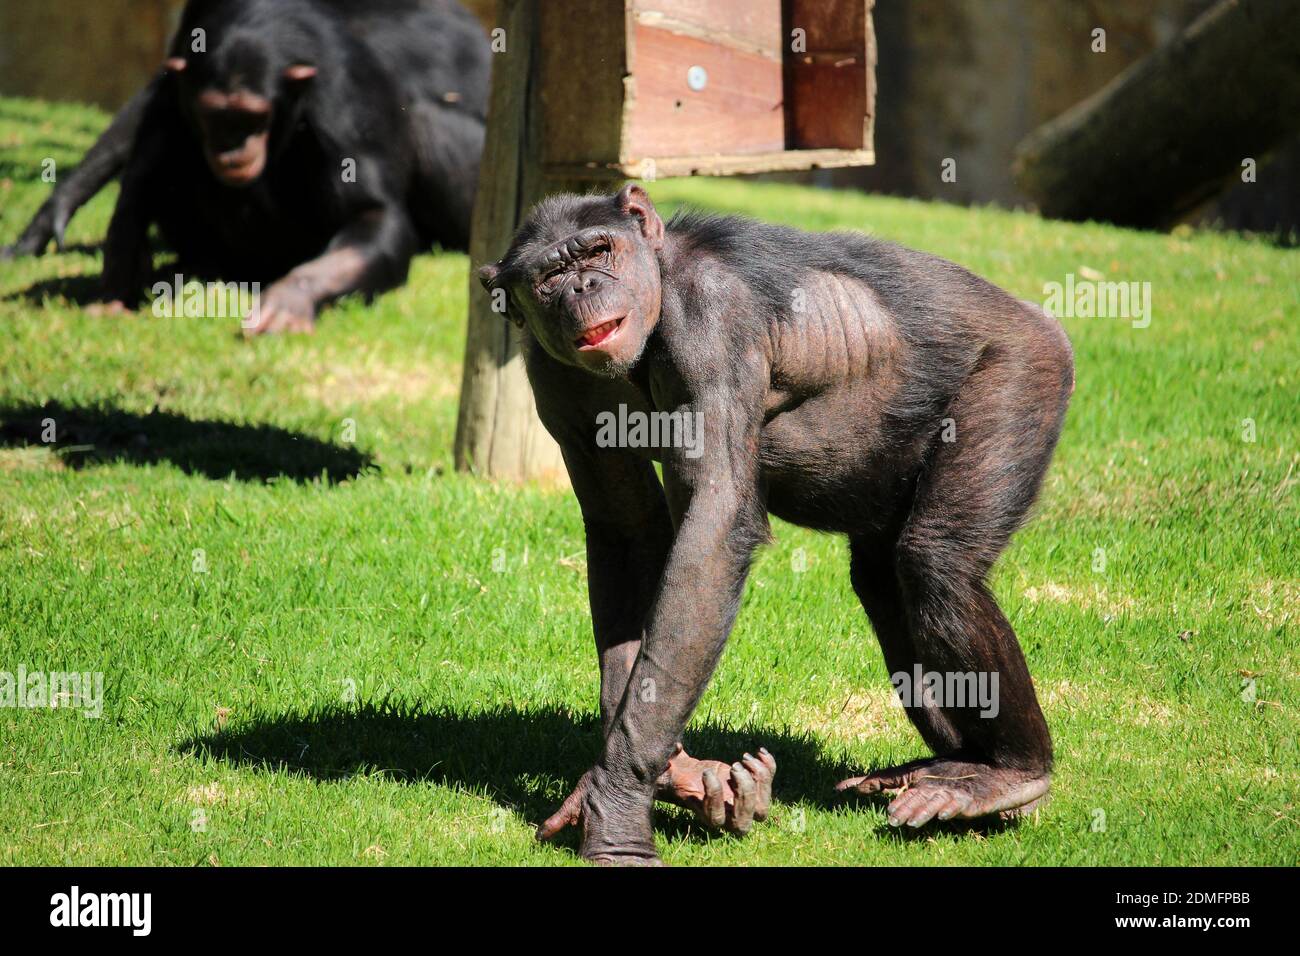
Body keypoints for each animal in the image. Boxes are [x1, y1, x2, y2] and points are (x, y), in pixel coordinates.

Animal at [478, 184, 1074, 864]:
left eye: (598, 250)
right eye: (548, 277)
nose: (582, 286)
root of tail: (1038, 319)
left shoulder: (710, 320)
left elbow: (711, 534)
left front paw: (618, 806)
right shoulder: (551, 377)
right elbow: (627, 535)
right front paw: (683, 778)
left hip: (1022, 374)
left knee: (937, 564)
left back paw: (1010, 773)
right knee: (883, 580)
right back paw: (949, 768)